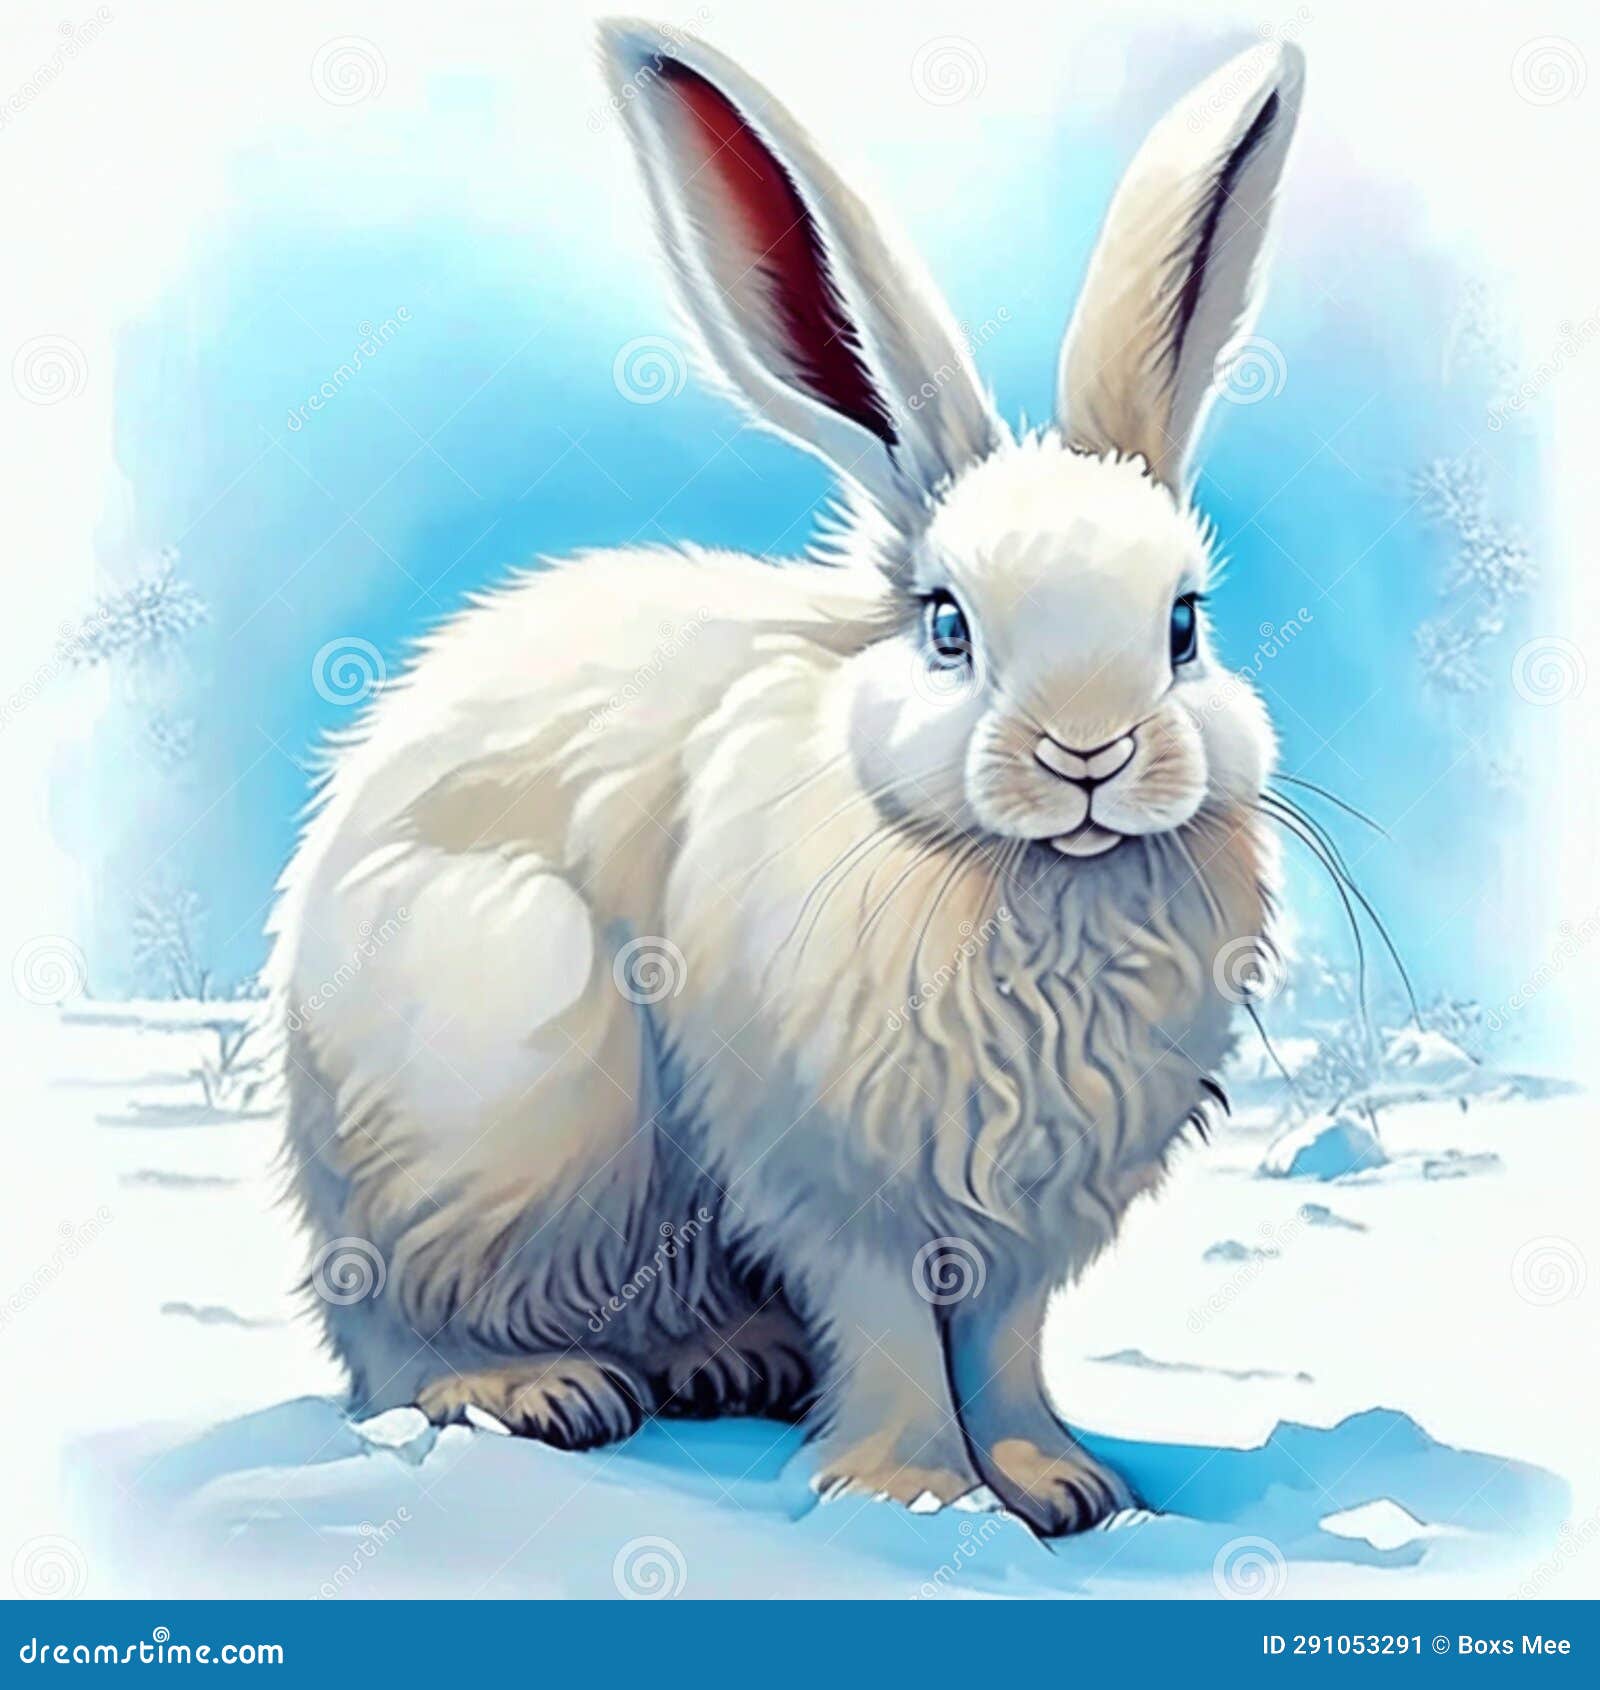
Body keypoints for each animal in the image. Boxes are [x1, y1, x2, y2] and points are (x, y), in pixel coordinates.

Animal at [267, 19, 1303, 1536]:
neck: (1021, 881)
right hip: (502, 1065)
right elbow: (888, 1321)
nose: (1089, 751)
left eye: (1181, 625)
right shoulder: (836, 1182)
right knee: (399, 1344)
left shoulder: (1025, 1225)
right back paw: (542, 1390)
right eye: (948, 625)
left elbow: (1003, 1343)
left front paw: (1059, 1485)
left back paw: (728, 1363)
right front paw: (919, 1495)